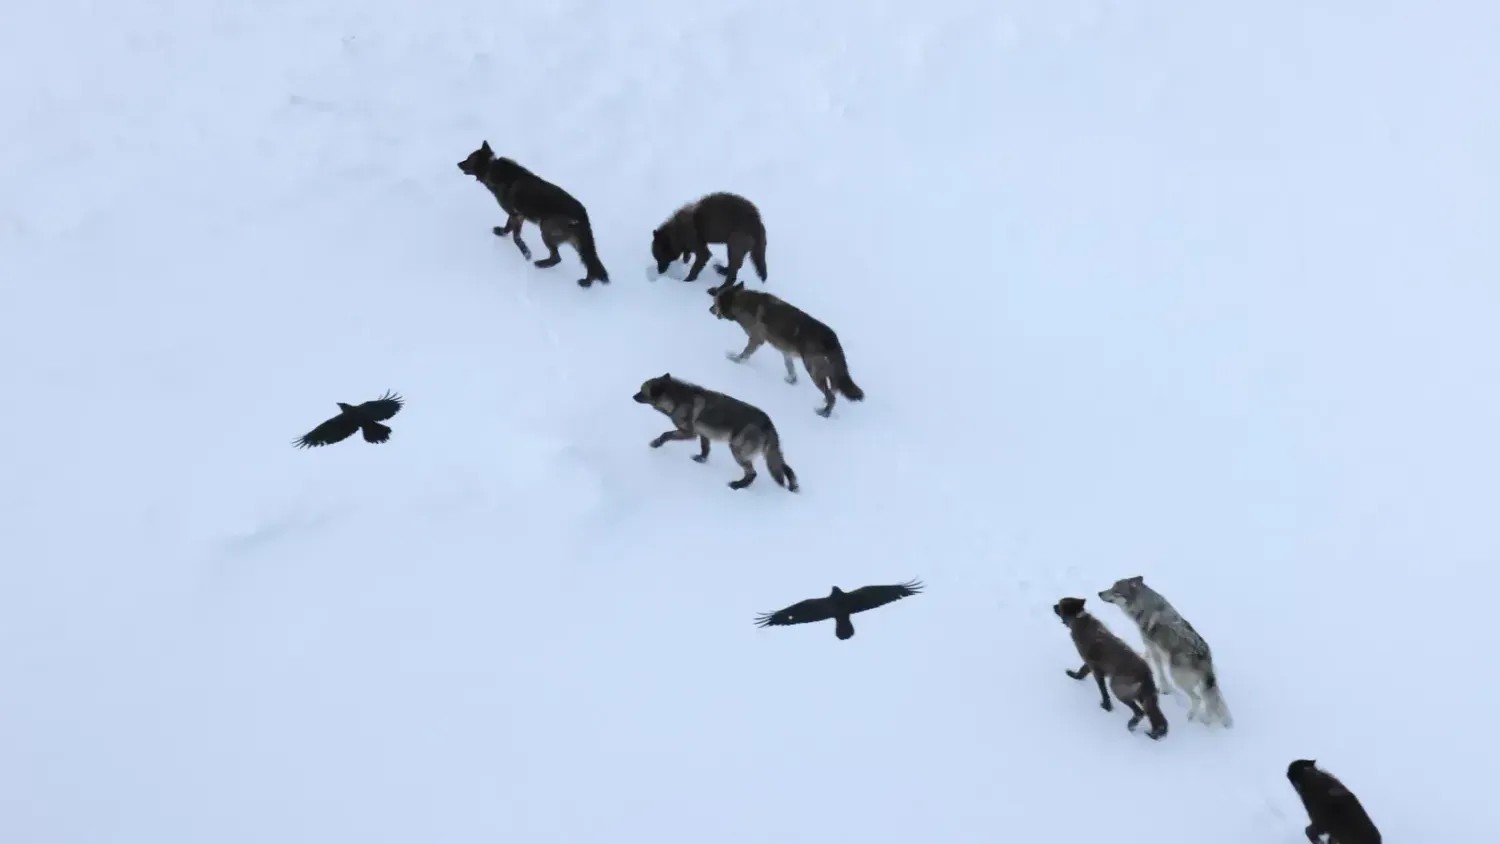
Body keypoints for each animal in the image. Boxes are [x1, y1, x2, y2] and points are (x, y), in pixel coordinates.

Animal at [456, 141, 609, 288]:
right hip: (579, 245)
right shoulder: (517, 215)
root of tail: (583, 215)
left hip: (546, 228)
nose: (457, 163)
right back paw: (586, 283)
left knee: (557, 258)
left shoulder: (516, 215)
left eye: (468, 159)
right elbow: (508, 228)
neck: (491, 167)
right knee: (590, 263)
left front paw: (526, 253)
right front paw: (501, 232)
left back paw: (540, 264)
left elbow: (516, 237)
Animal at [631, 373, 798, 492]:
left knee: (752, 473)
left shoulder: (688, 433)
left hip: (737, 450)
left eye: (641, 391)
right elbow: (705, 449)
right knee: (786, 468)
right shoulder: (703, 435)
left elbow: (665, 434)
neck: (677, 399)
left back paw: (738, 486)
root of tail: (768, 422)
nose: (632, 396)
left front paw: (656, 443)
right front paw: (701, 460)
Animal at [709, 281, 864, 417]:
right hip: (828, 371)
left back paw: (824, 413)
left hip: (814, 370)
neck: (740, 302)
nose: (709, 309)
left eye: (715, 302)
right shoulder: (785, 352)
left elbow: (744, 354)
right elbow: (790, 368)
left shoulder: (756, 339)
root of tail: (832, 338)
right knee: (834, 389)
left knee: (832, 396)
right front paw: (792, 381)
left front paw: (734, 359)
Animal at [1053, 596, 1168, 740]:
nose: (1053, 606)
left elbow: (1102, 690)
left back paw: (1132, 725)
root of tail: (1145, 673)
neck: (1079, 619)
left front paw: (1106, 707)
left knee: (1140, 712)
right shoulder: (1090, 665)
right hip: (1144, 696)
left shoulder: (1095, 669)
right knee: (1156, 717)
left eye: (1060, 604)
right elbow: (1082, 672)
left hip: (1117, 688)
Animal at [1097, 575, 1233, 727]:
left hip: (1177, 677)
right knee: (1217, 702)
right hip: (1207, 683)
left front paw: (1164, 689)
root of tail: (1201, 652)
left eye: (1116, 591)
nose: (1099, 593)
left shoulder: (1154, 649)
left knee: (1199, 699)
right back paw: (1222, 721)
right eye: (1111, 587)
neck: (1143, 606)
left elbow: (1160, 672)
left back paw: (1191, 717)